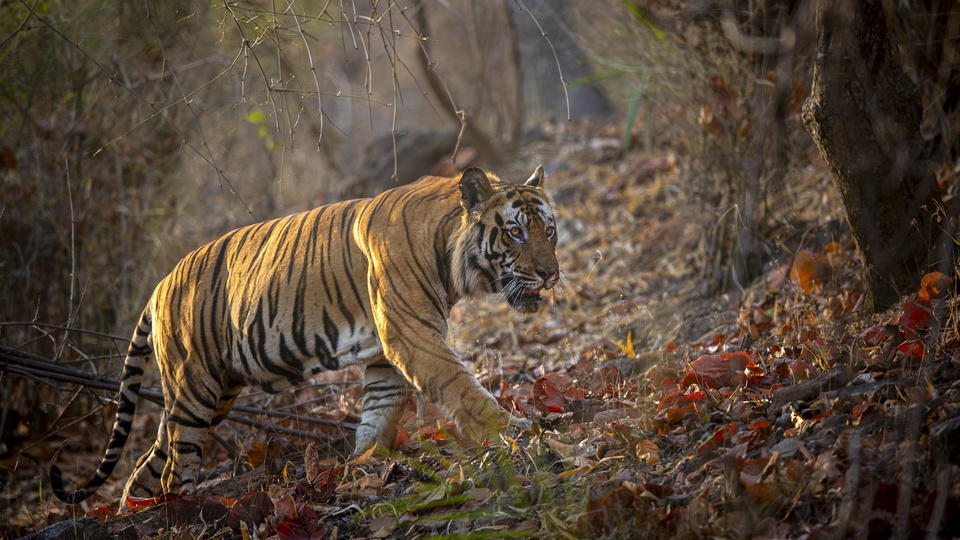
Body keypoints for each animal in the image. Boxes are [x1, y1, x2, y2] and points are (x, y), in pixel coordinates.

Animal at [51, 165, 560, 505]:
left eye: (550, 231)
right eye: (515, 233)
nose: (551, 274)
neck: (449, 252)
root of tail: (158, 286)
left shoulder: (386, 354)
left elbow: (378, 416)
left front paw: (364, 468)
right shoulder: (413, 339)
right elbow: (465, 390)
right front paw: (515, 433)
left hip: (204, 398)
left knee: (146, 466)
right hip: (194, 390)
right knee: (175, 471)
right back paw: (186, 512)